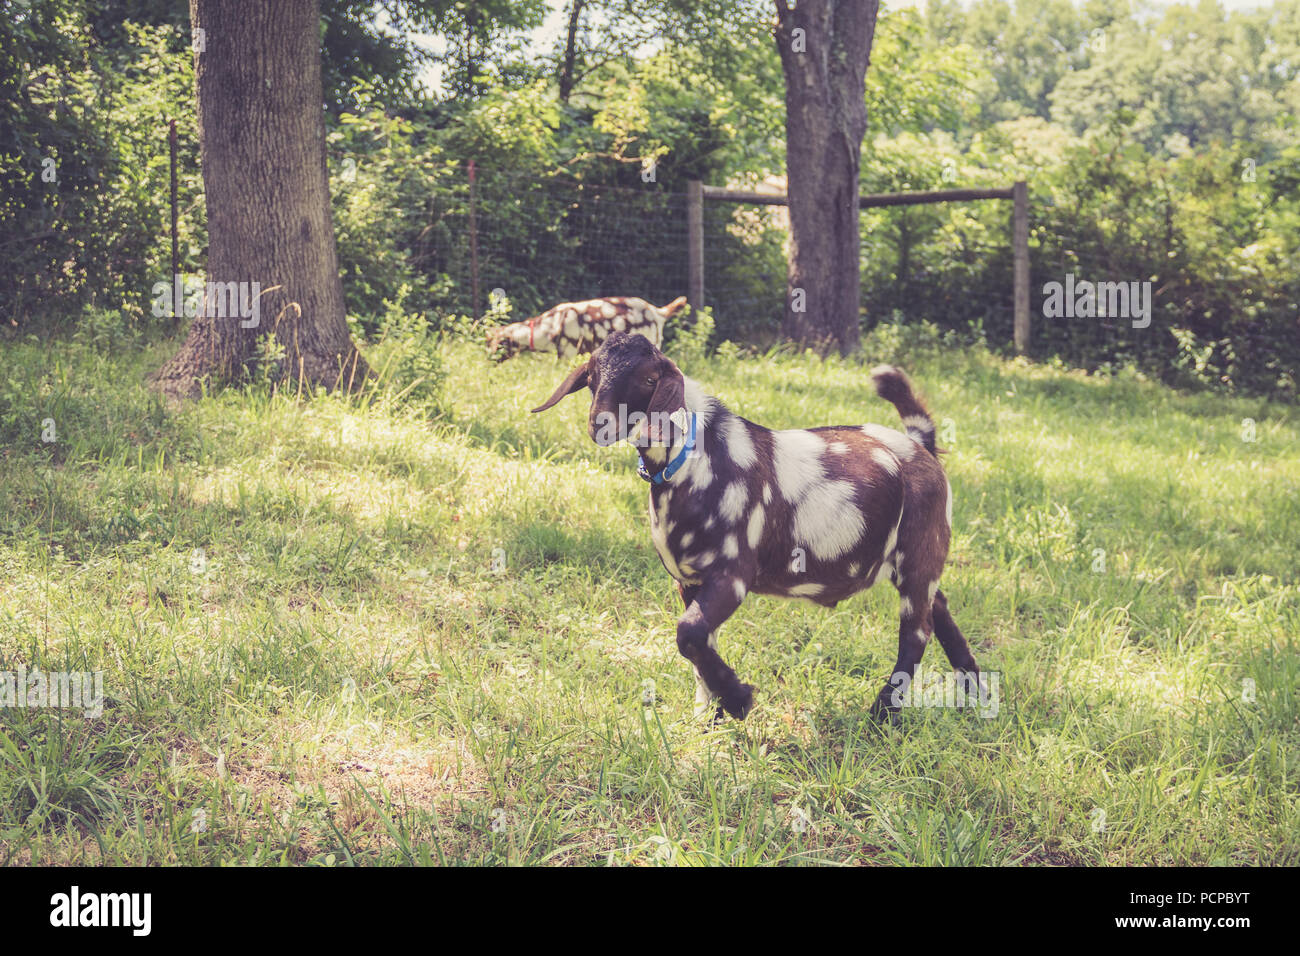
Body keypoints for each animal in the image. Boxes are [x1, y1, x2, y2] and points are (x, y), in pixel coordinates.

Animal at [532, 331, 981, 721]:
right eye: (592, 375)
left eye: (648, 378)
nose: (600, 423)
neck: (694, 461)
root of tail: (920, 444)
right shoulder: (688, 581)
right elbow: (701, 641)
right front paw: (708, 715)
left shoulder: (732, 574)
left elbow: (688, 633)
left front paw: (738, 700)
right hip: (913, 561)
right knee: (939, 608)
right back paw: (974, 691)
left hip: (919, 551)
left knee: (916, 631)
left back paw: (882, 714)